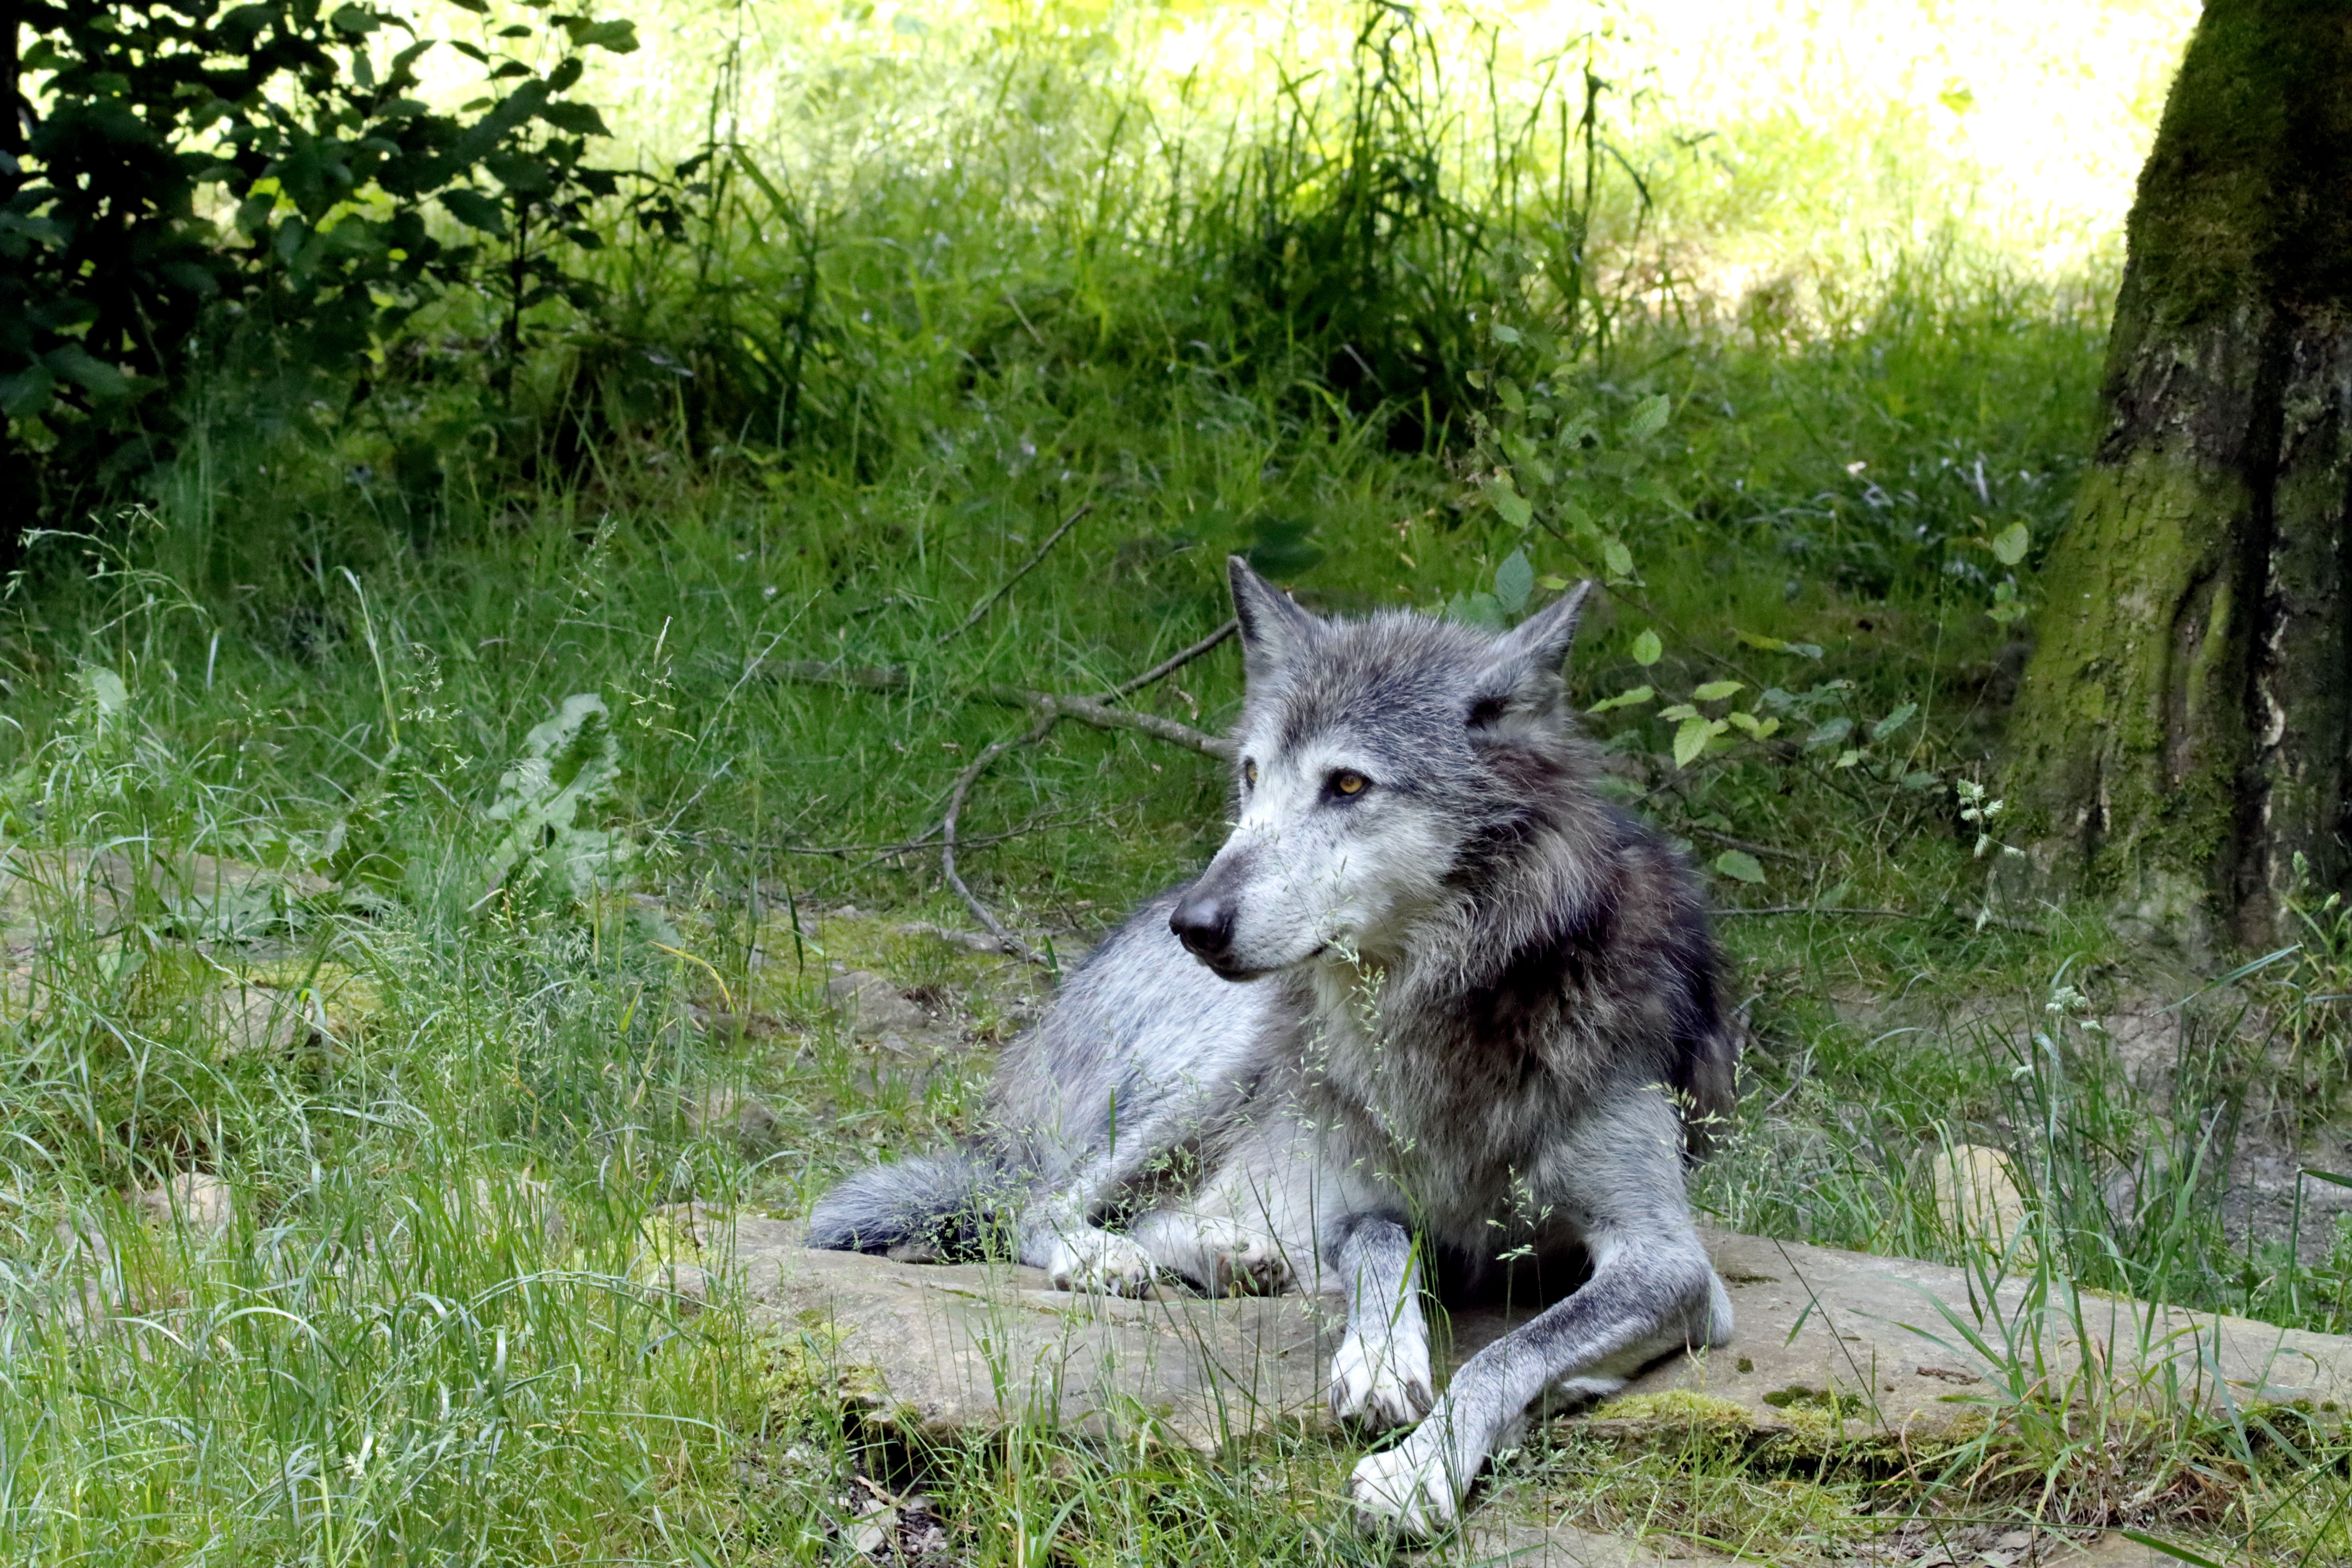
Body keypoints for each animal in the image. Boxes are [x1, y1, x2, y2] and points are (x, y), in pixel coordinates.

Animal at [807, 558, 1738, 1534]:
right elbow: (1382, 1254)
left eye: (1349, 786)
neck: (1443, 1008)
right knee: (1042, 1206)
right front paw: (1378, 1362)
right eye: (1251, 776)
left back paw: (1234, 1261)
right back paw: (1116, 1260)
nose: (1195, 924)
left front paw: (1419, 1469)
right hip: (1223, 1066)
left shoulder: (1669, 1263)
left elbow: (1507, 1351)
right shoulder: (1367, 1198)